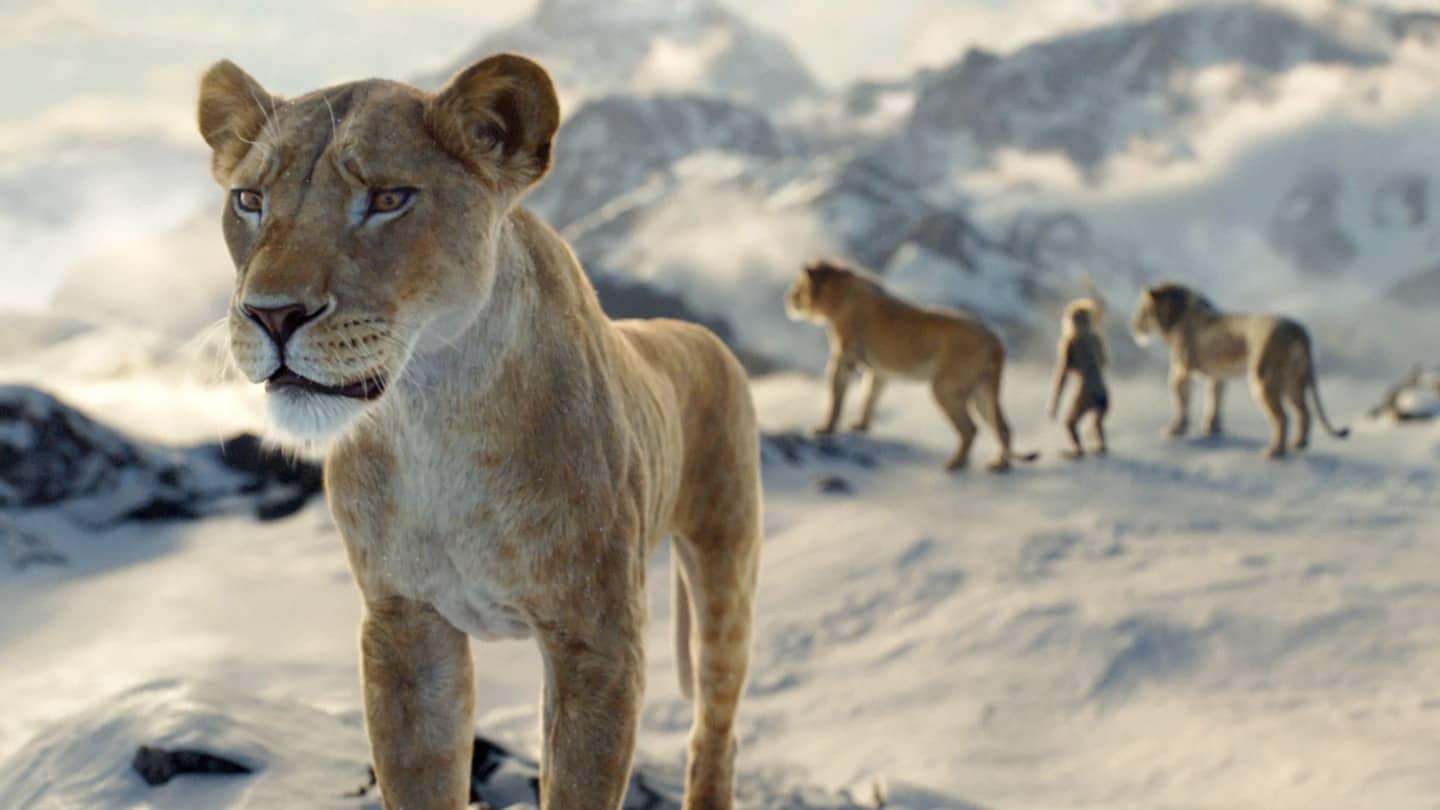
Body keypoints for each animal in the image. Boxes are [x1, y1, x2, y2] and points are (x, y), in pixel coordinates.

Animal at [198, 54, 761, 810]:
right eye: (250, 200)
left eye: (388, 199)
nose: (272, 315)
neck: (436, 413)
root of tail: (701, 335)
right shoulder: (404, 627)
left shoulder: (597, 641)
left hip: (726, 566)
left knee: (716, 729)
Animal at [784, 258, 1037, 472]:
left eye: (798, 285)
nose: (788, 299)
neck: (839, 295)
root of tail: (996, 342)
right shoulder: (878, 371)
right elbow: (869, 397)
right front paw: (861, 426)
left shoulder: (843, 360)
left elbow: (836, 397)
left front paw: (824, 429)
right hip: (982, 390)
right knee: (1003, 428)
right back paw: (999, 465)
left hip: (946, 388)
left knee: (971, 429)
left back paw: (955, 464)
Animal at [1048, 277, 1109, 458]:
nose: (1065, 317)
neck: (1083, 331)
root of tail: (1099, 396)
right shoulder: (1095, 336)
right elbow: (1103, 361)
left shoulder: (1068, 342)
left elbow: (1062, 373)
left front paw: (1053, 408)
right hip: (1103, 402)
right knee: (1097, 421)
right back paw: (1101, 446)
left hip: (1085, 399)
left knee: (1071, 422)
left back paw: (1077, 451)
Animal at [1131, 282, 1350, 458]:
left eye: (1141, 310)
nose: (1133, 327)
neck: (1175, 315)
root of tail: (1297, 328)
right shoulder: (1217, 376)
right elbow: (1214, 400)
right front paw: (1212, 429)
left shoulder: (1181, 371)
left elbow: (1180, 400)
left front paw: (1175, 430)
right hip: (1294, 381)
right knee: (1304, 412)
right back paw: (1298, 444)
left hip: (1263, 379)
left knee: (1282, 418)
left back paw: (1274, 452)